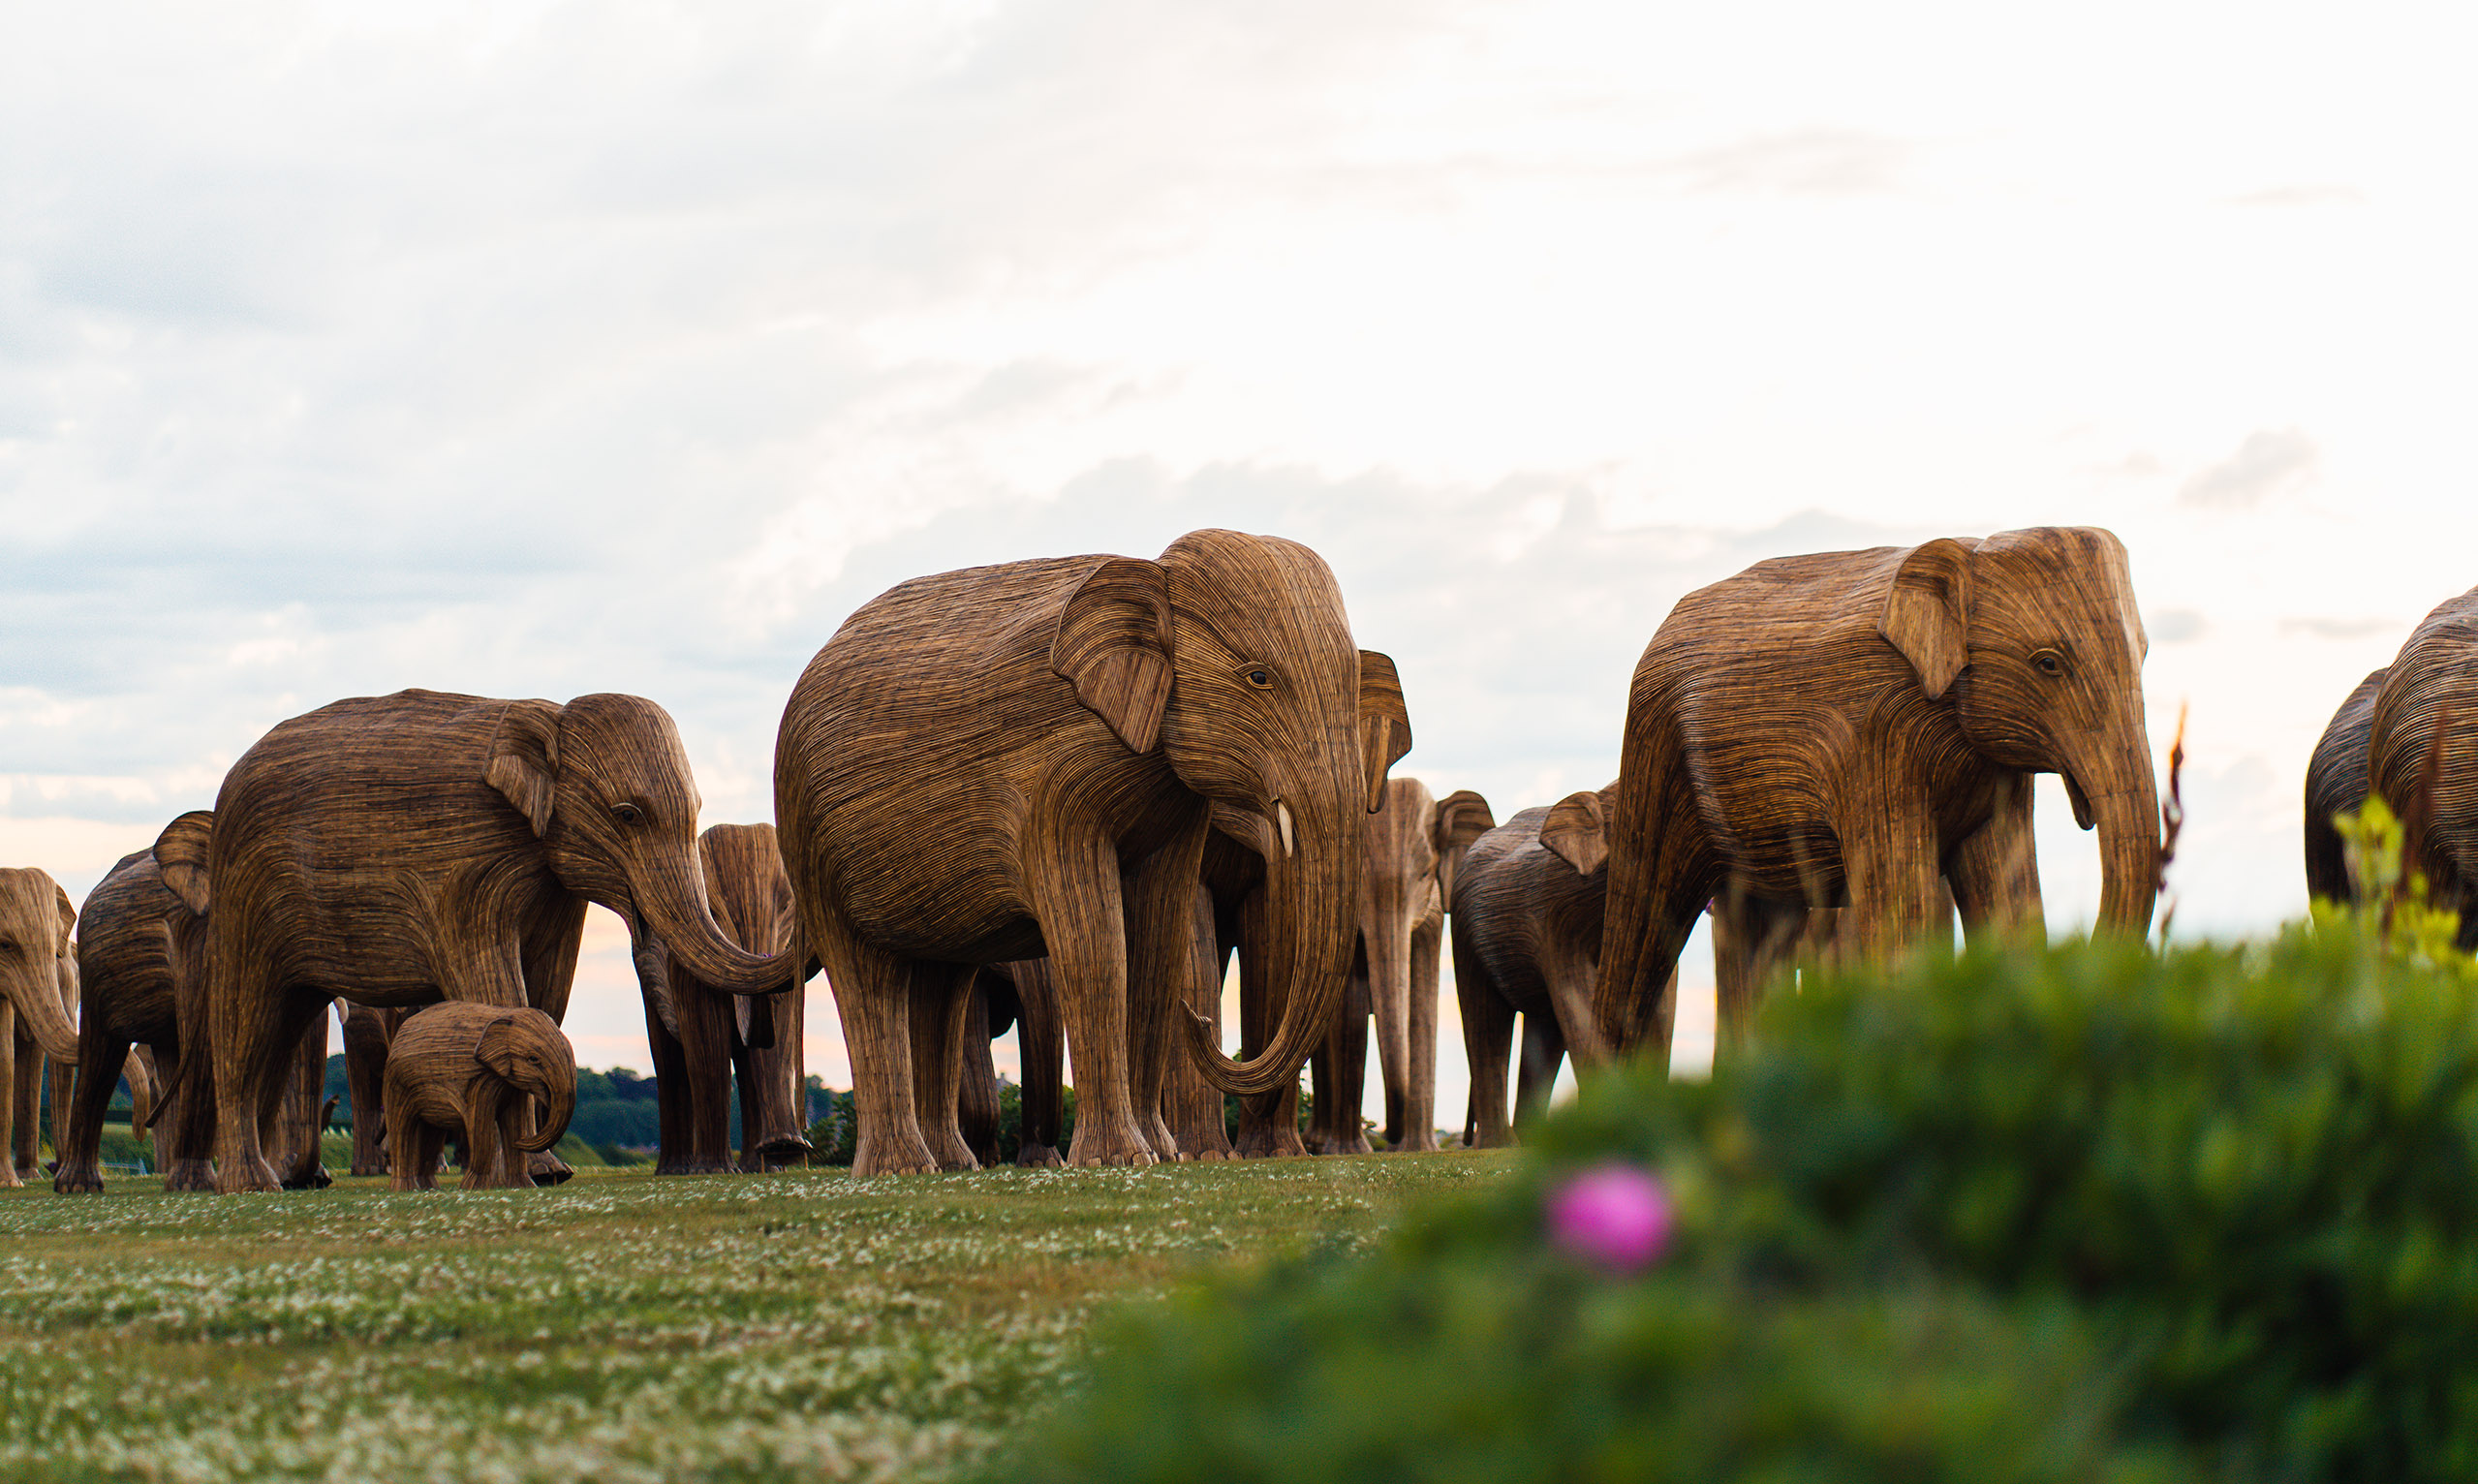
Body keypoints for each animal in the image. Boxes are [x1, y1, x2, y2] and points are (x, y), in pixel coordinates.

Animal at [382, 1002, 577, 1191]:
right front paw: (473, 1187)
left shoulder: (511, 1082)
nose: (521, 1141)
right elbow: (480, 1125)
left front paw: (524, 1186)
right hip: (397, 1082)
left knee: (432, 1134)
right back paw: (405, 1189)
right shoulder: (480, 1078)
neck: (506, 1015)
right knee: (401, 1127)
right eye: (533, 1059)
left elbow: (515, 1121)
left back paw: (428, 1188)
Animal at [642, 822, 818, 1174]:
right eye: (712, 911)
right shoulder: (685, 966)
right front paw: (713, 1172)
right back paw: (677, 1171)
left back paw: (755, 1165)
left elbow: (779, 1034)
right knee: (669, 1059)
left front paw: (779, 1155)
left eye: (786, 907)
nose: (795, 1144)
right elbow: (705, 1037)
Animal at [775, 530, 1408, 1174]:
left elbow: (1158, 942)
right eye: (1258, 677)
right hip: (807, 836)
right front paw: (1119, 1160)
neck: (1151, 574)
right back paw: (901, 1168)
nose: (1202, 1019)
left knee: (943, 985)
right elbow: (1094, 941)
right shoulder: (1050, 782)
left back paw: (952, 1166)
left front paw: (1163, 1157)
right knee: (867, 979)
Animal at [1304, 780, 1492, 1154]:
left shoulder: (1432, 906)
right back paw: (1320, 1145)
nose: (1390, 1134)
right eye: (1356, 876)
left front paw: (1420, 1151)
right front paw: (1353, 1153)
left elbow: (1423, 997)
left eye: (1425, 873)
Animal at [1594, 527, 2158, 1064]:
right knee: (1640, 934)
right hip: (1654, 748)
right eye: (2048, 663)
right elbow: (1901, 907)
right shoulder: (1874, 738)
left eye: (2145, 655)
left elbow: (2008, 899)